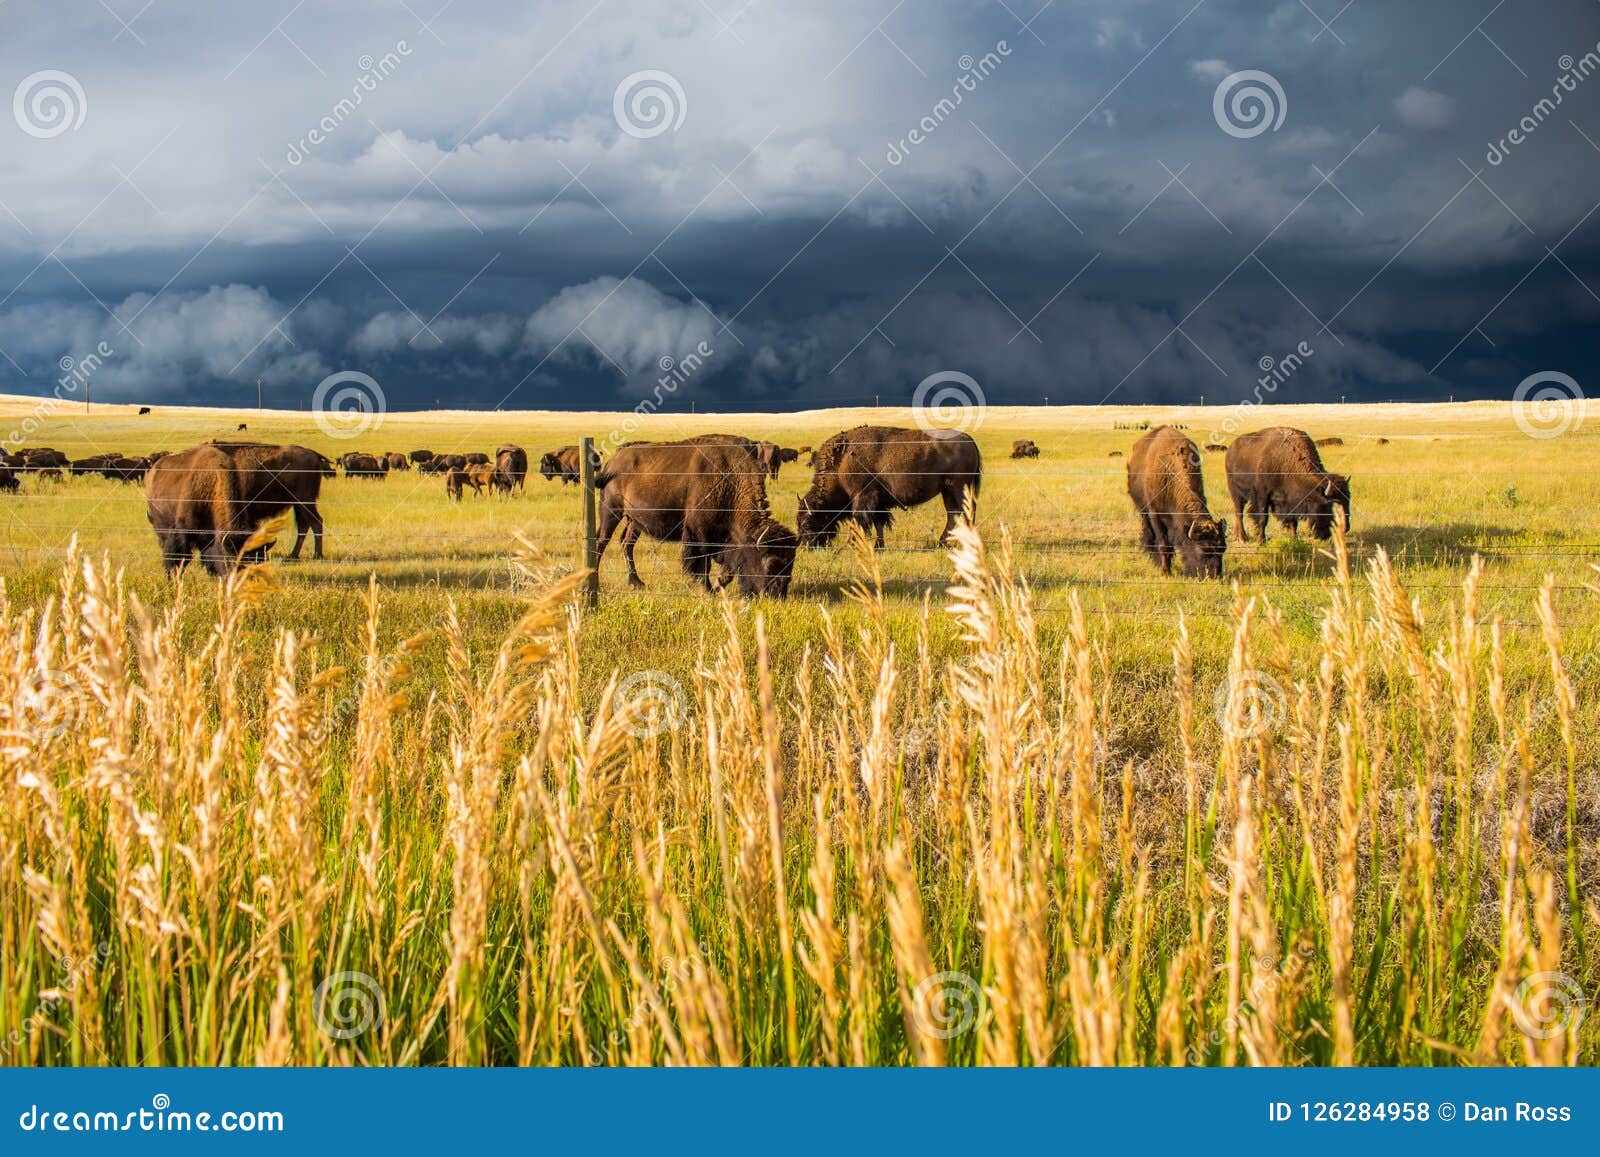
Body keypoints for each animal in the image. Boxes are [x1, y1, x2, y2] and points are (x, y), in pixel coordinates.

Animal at [596, 439, 796, 597]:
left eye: (790, 564)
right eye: (770, 565)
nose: (776, 596)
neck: (729, 483)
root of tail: (613, 460)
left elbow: (727, 571)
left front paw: (717, 586)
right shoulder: (699, 533)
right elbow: (702, 563)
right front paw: (707, 590)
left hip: (634, 520)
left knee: (626, 544)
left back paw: (637, 583)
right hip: (611, 511)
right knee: (601, 542)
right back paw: (596, 582)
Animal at [797, 425, 981, 548]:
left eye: (807, 523)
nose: (806, 546)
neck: (840, 463)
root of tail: (968, 438)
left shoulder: (863, 497)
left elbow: (859, 521)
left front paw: (851, 544)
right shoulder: (878, 503)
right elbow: (879, 523)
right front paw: (879, 546)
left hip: (959, 487)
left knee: (967, 512)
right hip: (947, 491)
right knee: (953, 514)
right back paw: (941, 543)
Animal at [1127, 426, 1227, 578]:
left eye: (1223, 549)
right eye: (1203, 551)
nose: (1215, 576)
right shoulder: (1155, 514)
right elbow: (1164, 544)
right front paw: (1165, 572)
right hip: (1142, 509)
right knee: (1148, 532)